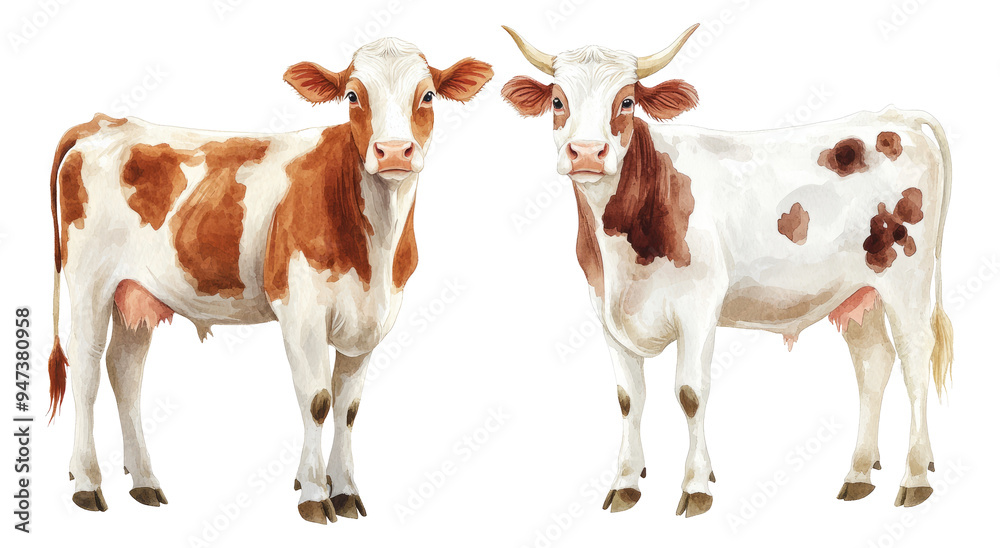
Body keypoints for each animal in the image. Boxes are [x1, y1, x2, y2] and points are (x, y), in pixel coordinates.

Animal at [47, 37, 492, 524]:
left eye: (427, 95)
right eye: (353, 96)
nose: (393, 152)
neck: (375, 252)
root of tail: (103, 123)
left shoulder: (370, 320)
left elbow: (348, 409)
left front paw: (344, 492)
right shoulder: (300, 310)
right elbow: (317, 400)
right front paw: (314, 495)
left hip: (135, 293)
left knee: (124, 371)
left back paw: (144, 481)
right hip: (89, 281)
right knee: (86, 367)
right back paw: (87, 483)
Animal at [501, 24, 954, 517]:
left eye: (627, 101)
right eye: (558, 101)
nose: (586, 153)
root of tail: (895, 116)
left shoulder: (699, 306)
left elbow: (690, 393)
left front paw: (697, 486)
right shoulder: (605, 310)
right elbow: (628, 400)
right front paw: (625, 483)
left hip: (907, 280)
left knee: (914, 359)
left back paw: (915, 477)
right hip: (857, 292)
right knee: (873, 362)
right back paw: (858, 475)